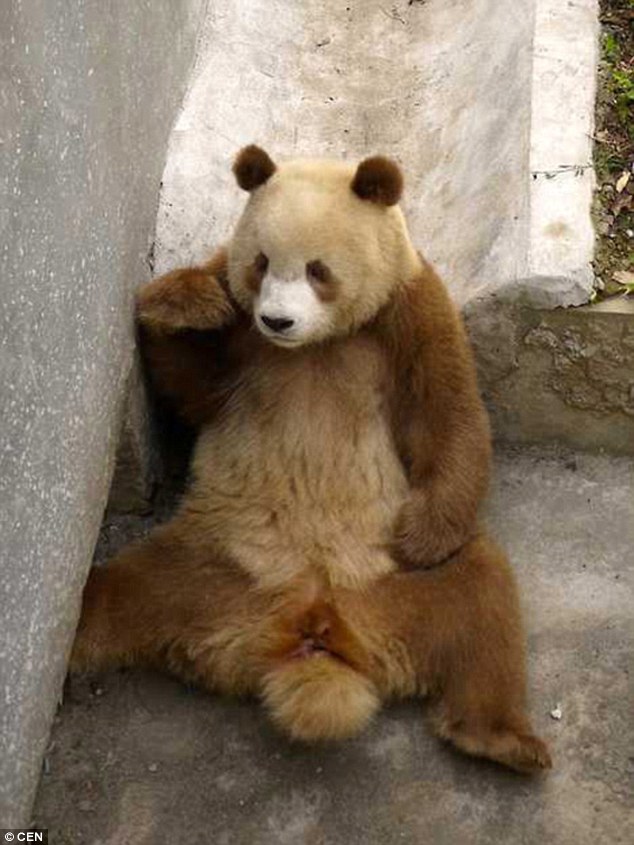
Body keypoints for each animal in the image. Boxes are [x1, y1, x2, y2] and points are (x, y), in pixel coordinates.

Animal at [72, 146, 551, 774]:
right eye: (261, 263)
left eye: (318, 270)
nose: (277, 320)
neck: (315, 345)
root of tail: (307, 628)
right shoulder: (242, 334)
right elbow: (196, 386)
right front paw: (185, 302)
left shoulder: (405, 310)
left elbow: (446, 413)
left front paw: (421, 534)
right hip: (210, 560)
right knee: (125, 590)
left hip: (390, 584)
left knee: (481, 597)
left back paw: (500, 739)